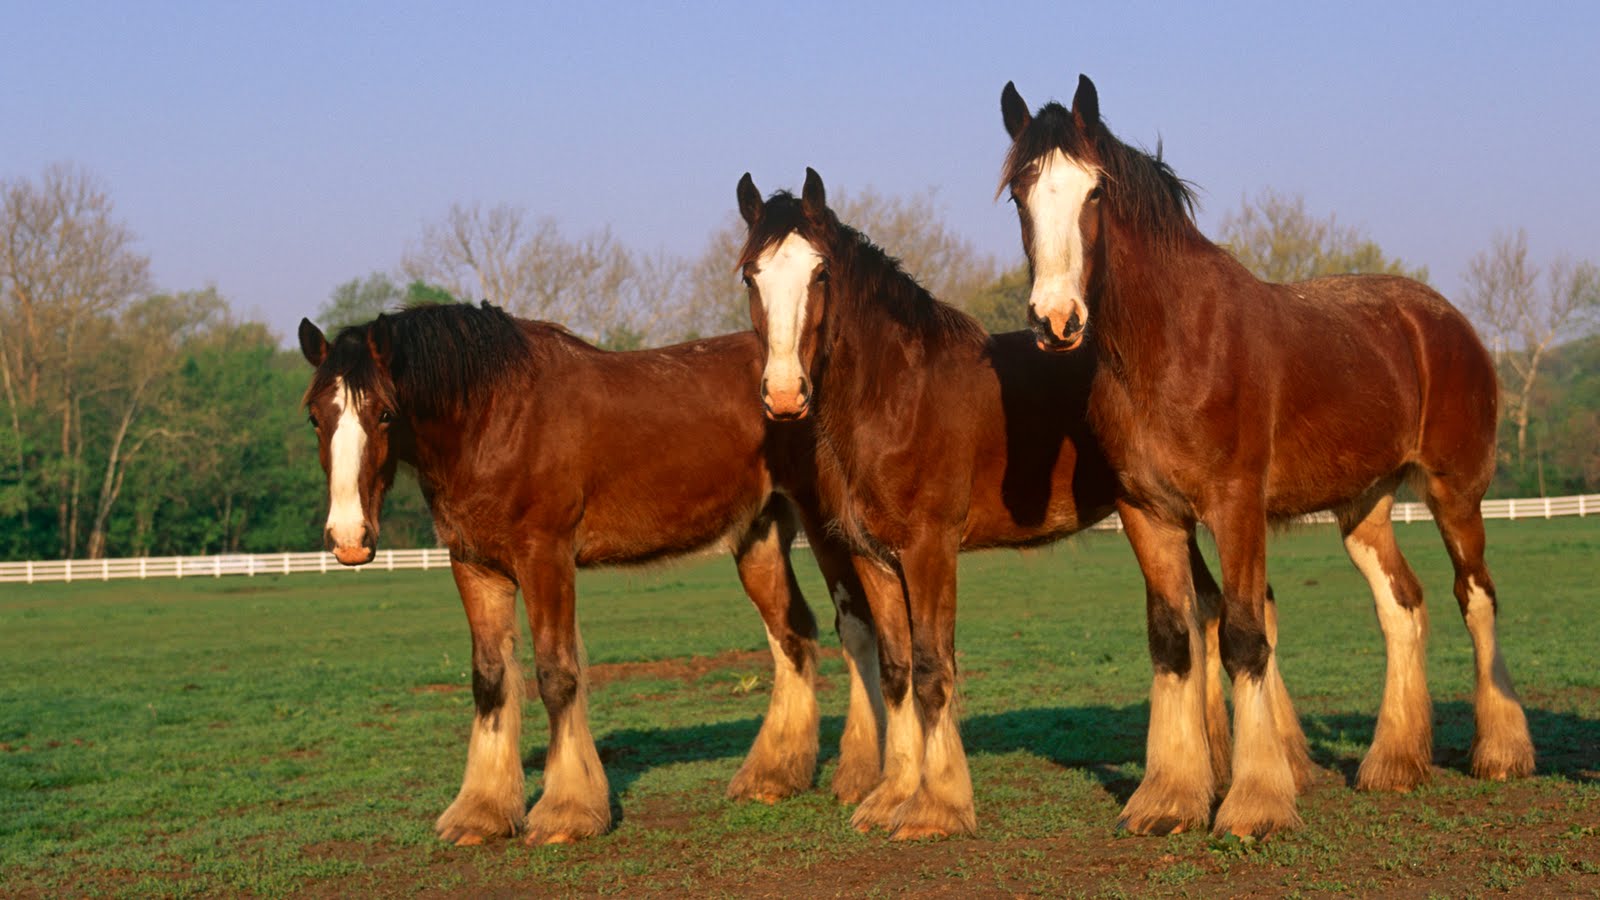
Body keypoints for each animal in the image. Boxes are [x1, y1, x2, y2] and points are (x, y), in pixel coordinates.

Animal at [297, 302, 887, 844]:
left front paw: (567, 812)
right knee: (792, 635)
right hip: (759, 535)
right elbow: (489, 678)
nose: (348, 539)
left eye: (385, 413)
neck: (495, 418)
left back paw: (861, 775)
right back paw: (773, 776)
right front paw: (481, 812)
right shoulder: (475, 566)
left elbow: (557, 675)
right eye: (314, 417)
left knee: (855, 631)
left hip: (827, 526)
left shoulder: (546, 558)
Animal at [735, 169, 1239, 839]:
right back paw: (1212, 773)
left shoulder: (929, 550)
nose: (786, 394)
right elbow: (896, 673)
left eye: (820, 274)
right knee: (1204, 608)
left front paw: (937, 808)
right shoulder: (874, 559)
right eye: (751, 275)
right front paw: (891, 797)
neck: (896, 396)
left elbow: (932, 669)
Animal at [999, 75, 1534, 838]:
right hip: (1364, 506)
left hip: (1454, 492)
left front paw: (1255, 803)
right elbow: (1174, 640)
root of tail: (1443, 319)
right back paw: (1394, 763)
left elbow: (1245, 637)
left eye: (1095, 191)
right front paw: (1168, 797)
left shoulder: (1236, 507)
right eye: (1020, 193)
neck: (1174, 345)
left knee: (1476, 595)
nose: (1056, 321)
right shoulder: (1148, 514)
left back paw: (1502, 752)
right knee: (1402, 605)